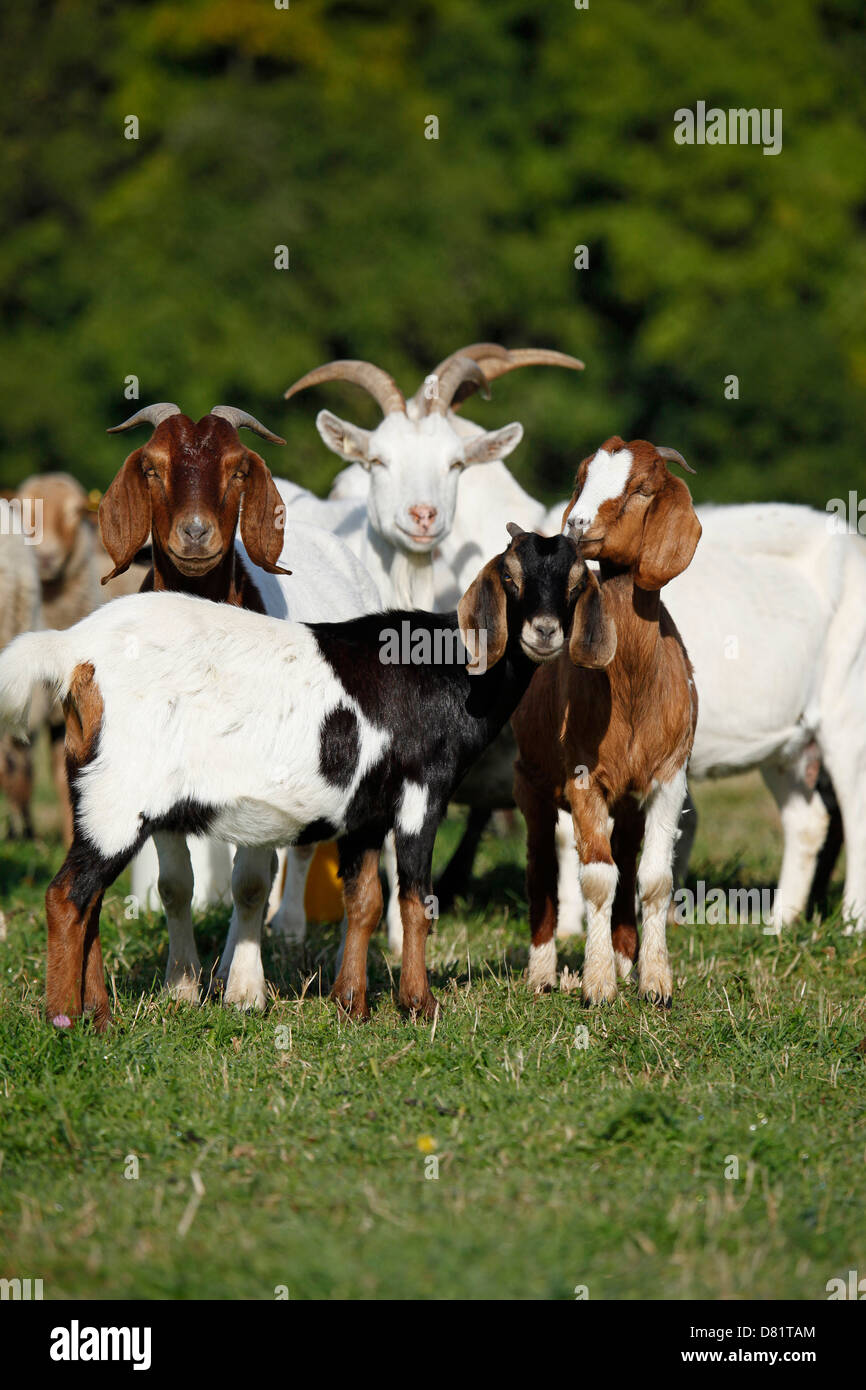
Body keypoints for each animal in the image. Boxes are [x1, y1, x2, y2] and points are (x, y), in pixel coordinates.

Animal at [0, 528, 615, 1028]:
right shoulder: (421, 792)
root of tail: (75, 649)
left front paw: (351, 1004)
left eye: (575, 582)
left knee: (90, 899)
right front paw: (421, 1005)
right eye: (510, 577)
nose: (543, 632)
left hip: (92, 793)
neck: (448, 671)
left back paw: (100, 1017)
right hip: (119, 797)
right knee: (66, 897)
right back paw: (64, 1020)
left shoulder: (367, 812)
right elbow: (416, 898)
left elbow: (364, 900)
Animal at [96, 402, 380, 1008]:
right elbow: (177, 885)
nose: (195, 533)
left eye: (237, 469)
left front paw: (247, 992)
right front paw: (182, 986)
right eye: (152, 466)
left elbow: (250, 883)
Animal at [513, 438, 701, 1004]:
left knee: (627, 858)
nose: (576, 524)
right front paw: (597, 985)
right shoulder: (583, 778)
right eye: (581, 478)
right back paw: (542, 972)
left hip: (629, 802)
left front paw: (654, 981)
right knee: (542, 868)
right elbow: (595, 877)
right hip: (530, 783)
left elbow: (654, 878)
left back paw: (624, 958)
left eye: (642, 489)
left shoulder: (668, 777)